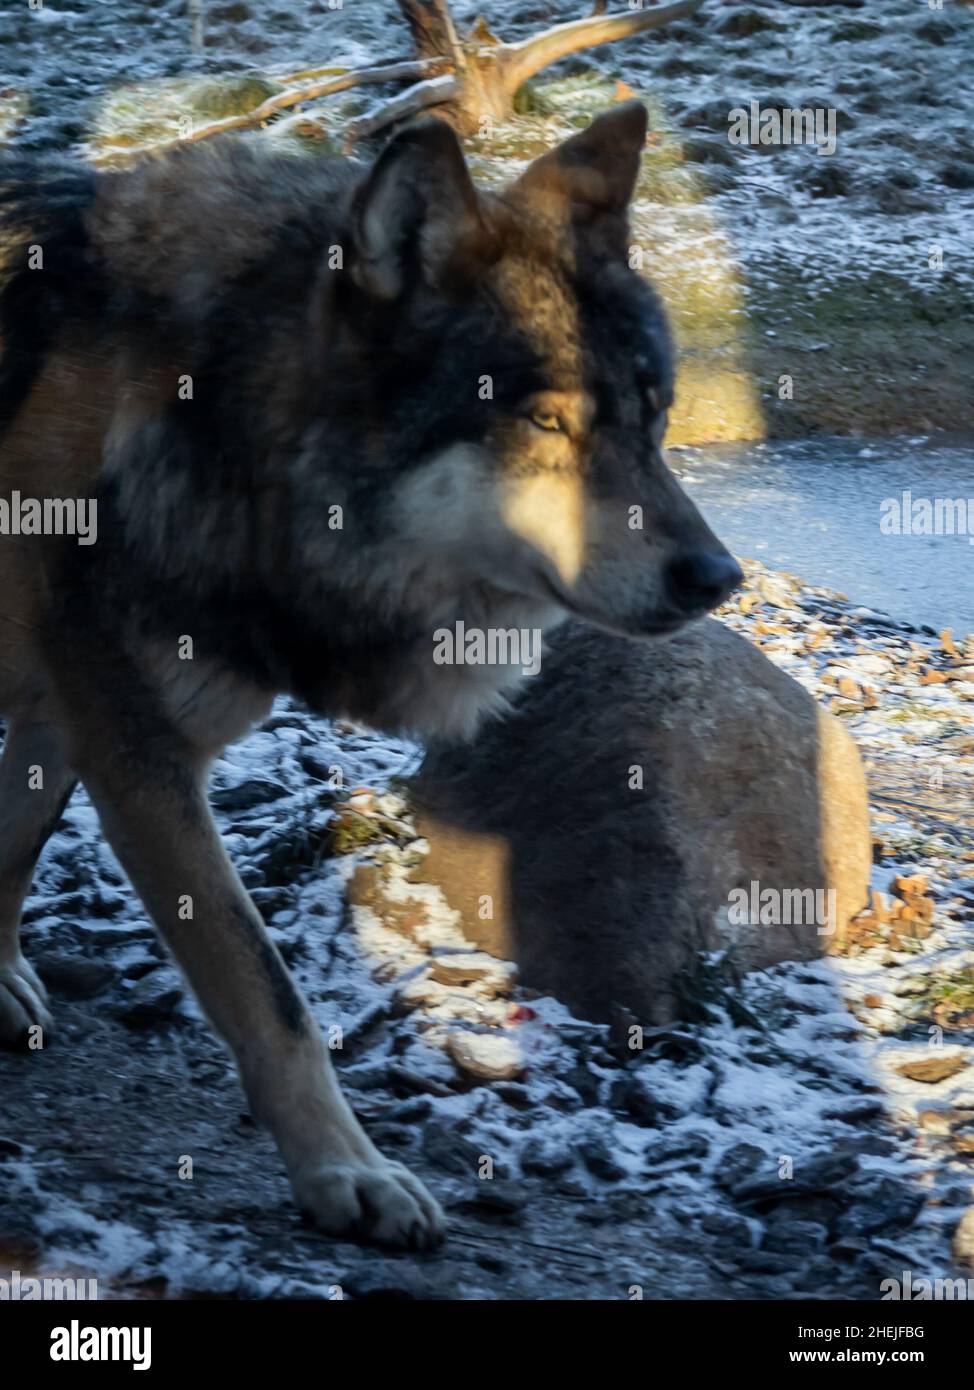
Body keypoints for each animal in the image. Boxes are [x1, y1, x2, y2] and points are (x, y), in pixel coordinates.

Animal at [0, 102, 741, 1248]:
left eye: (651, 418)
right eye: (545, 422)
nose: (715, 577)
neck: (213, 412)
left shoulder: (64, 716)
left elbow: (9, 850)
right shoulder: (137, 754)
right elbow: (270, 995)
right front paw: (347, 1172)